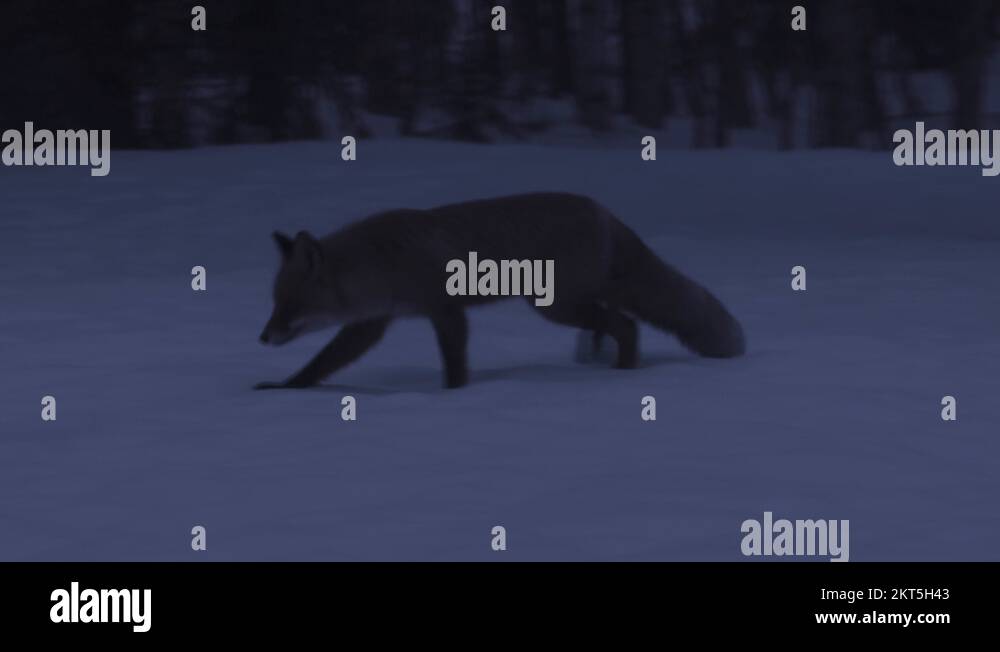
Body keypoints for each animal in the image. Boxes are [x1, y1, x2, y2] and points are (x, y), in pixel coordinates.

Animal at [255, 192, 745, 390]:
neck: (380, 264)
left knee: (627, 324)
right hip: (572, 303)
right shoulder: (371, 324)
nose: (262, 337)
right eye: (274, 302)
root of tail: (602, 210)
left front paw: (454, 395)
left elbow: (455, 364)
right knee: (617, 323)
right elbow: (321, 363)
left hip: (557, 305)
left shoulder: (446, 310)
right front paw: (287, 387)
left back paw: (623, 371)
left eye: (289, 304)